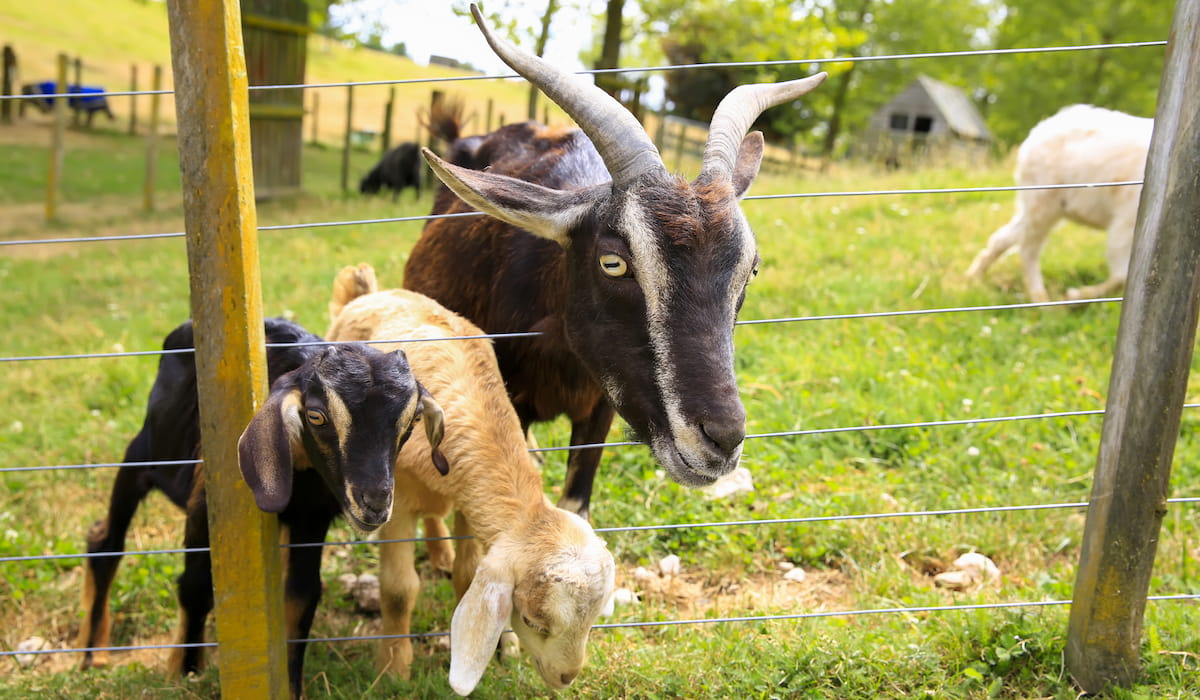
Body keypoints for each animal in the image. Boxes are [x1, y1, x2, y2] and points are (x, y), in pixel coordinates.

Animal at [78, 317, 446, 698]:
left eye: (413, 420)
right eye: (316, 416)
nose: (374, 502)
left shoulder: (311, 518)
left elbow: (301, 597)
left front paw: (291, 686)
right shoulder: (204, 508)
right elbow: (195, 587)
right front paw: (184, 670)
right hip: (145, 453)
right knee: (104, 541)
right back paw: (93, 654)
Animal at [326, 263, 616, 696]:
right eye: (531, 620)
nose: (567, 677)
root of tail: (369, 294)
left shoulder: (469, 503)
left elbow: (467, 574)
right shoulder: (394, 502)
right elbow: (398, 590)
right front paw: (393, 669)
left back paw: (441, 554)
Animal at [965, 104, 1152, 302]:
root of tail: (1041, 128)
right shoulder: (1127, 219)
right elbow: (1122, 274)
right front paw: (1075, 295)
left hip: (1038, 204)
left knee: (1004, 237)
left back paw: (973, 277)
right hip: (1043, 199)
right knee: (1027, 248)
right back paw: (1041, 299)